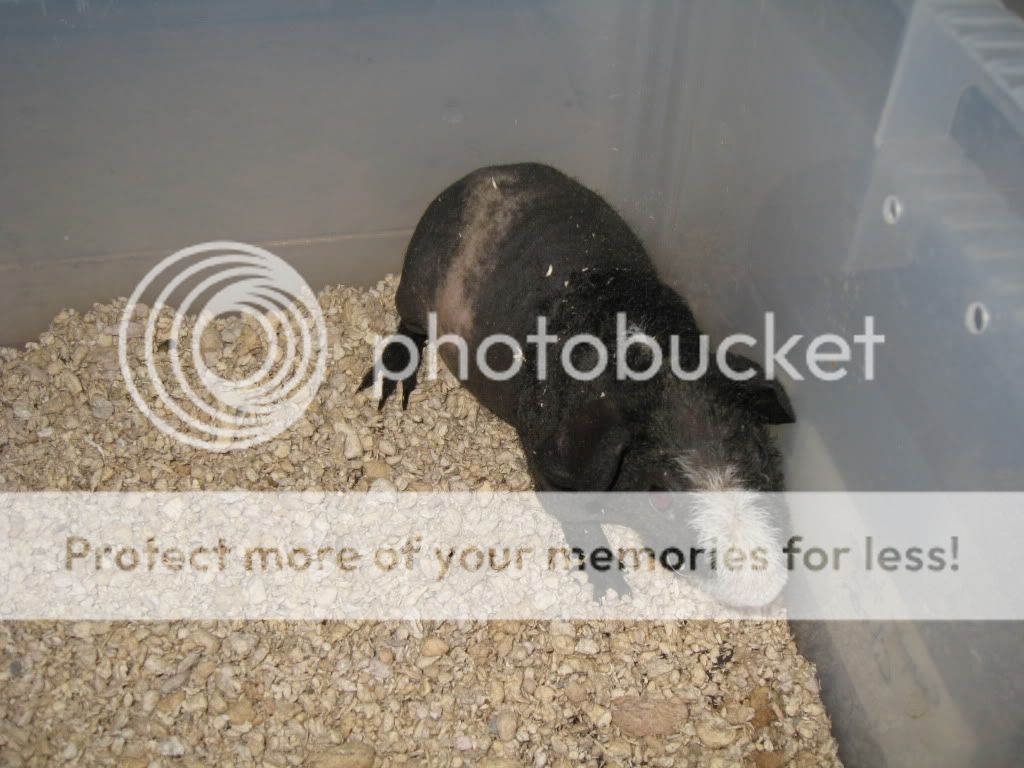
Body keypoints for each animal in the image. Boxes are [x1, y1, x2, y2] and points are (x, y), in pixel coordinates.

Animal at [361, 162, 795, 607]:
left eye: (759, 454)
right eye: (660, 496)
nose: (760, 588)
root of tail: (473, 178)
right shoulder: (550, 476)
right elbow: (580, 524)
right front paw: (616, 594)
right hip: (413, 299)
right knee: (407, 331)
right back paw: (386, 389)